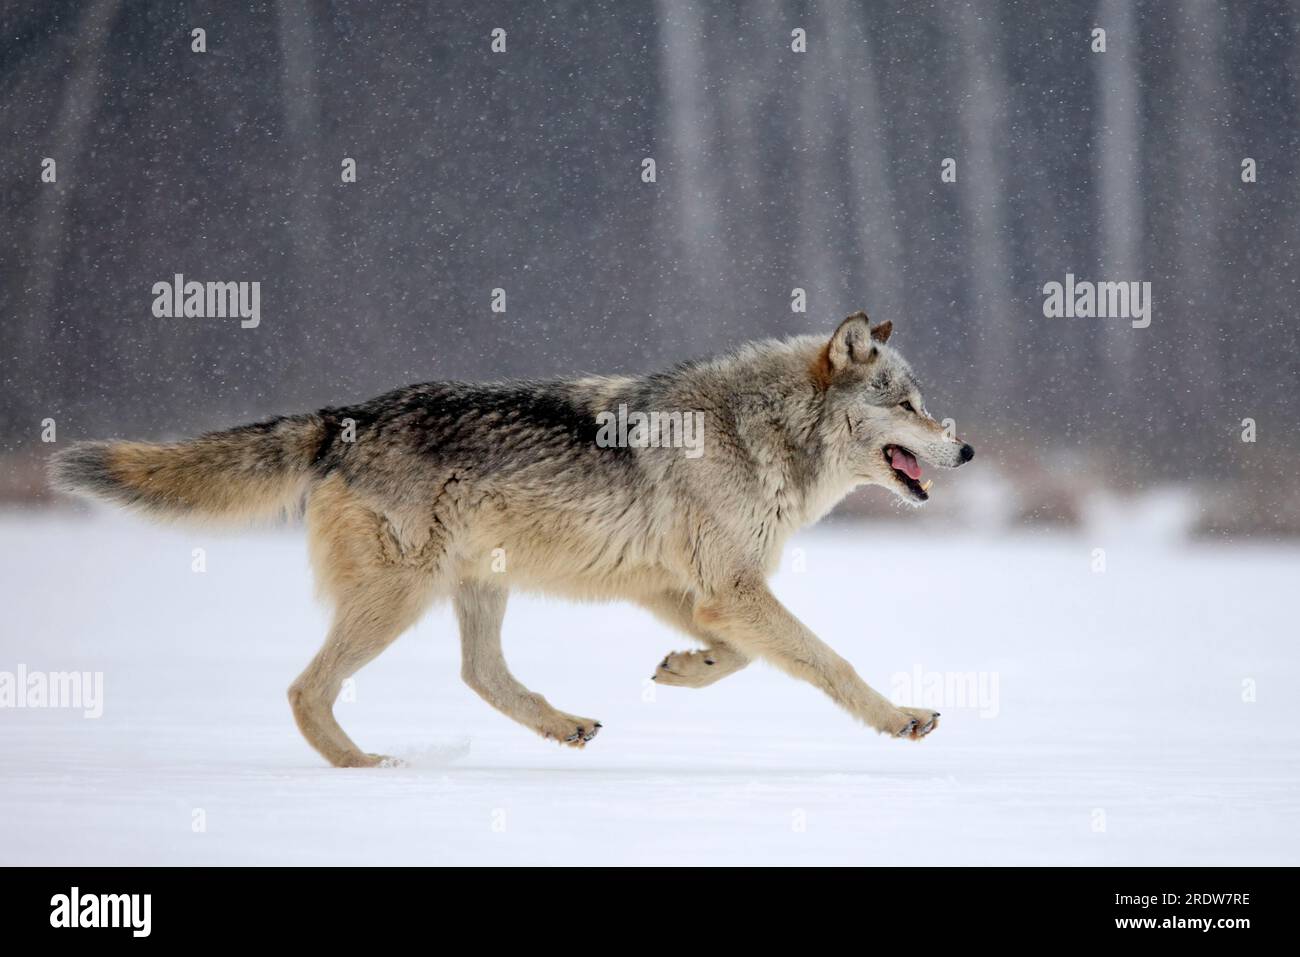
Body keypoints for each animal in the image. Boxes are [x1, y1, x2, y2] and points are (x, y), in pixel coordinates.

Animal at [51, 312, 974, 767]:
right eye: (907, 402)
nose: (965, 449)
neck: (762, 432)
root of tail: (347, 415)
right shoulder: (728, 587)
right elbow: (826, 659)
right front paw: (901, 718)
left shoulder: (686, 590)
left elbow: (743, 656)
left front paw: (684, 668)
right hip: (400, 597)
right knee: (307, 688)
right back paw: (369, 769)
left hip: (476, 587)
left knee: (480, 674)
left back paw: (561, 726)